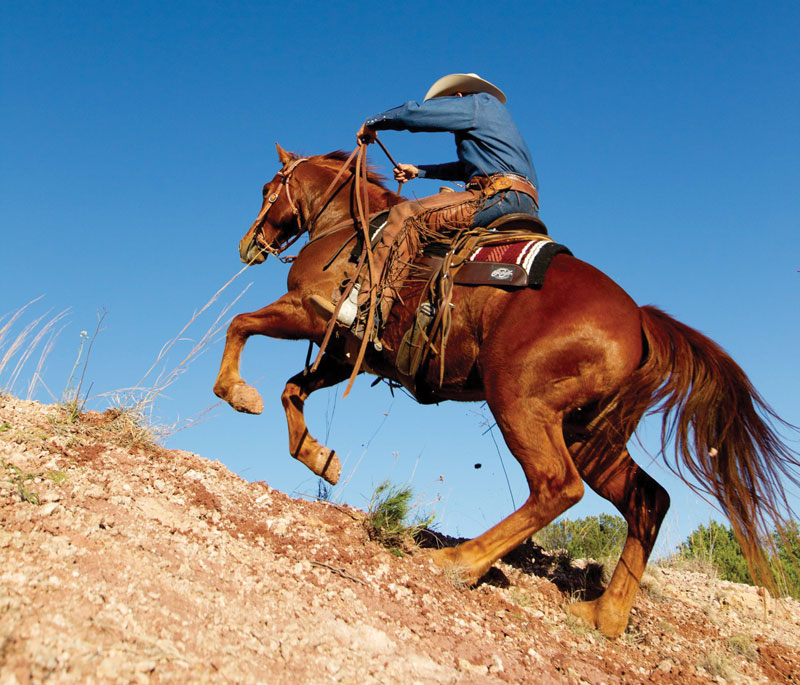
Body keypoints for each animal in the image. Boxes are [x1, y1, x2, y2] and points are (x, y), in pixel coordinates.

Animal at [214, 143, 798, 638]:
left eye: (268, 189)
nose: (248, 244)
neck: (352, 229)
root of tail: (639, 320)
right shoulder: (344, 350)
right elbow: (292, 391)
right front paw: (320, 458)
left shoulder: (311, 315)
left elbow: (241, 326)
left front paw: (238, 393)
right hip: (592, 435)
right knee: (648, 501)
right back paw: (603, 615)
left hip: (520, 403)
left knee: (558, 487)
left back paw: (458, 561)